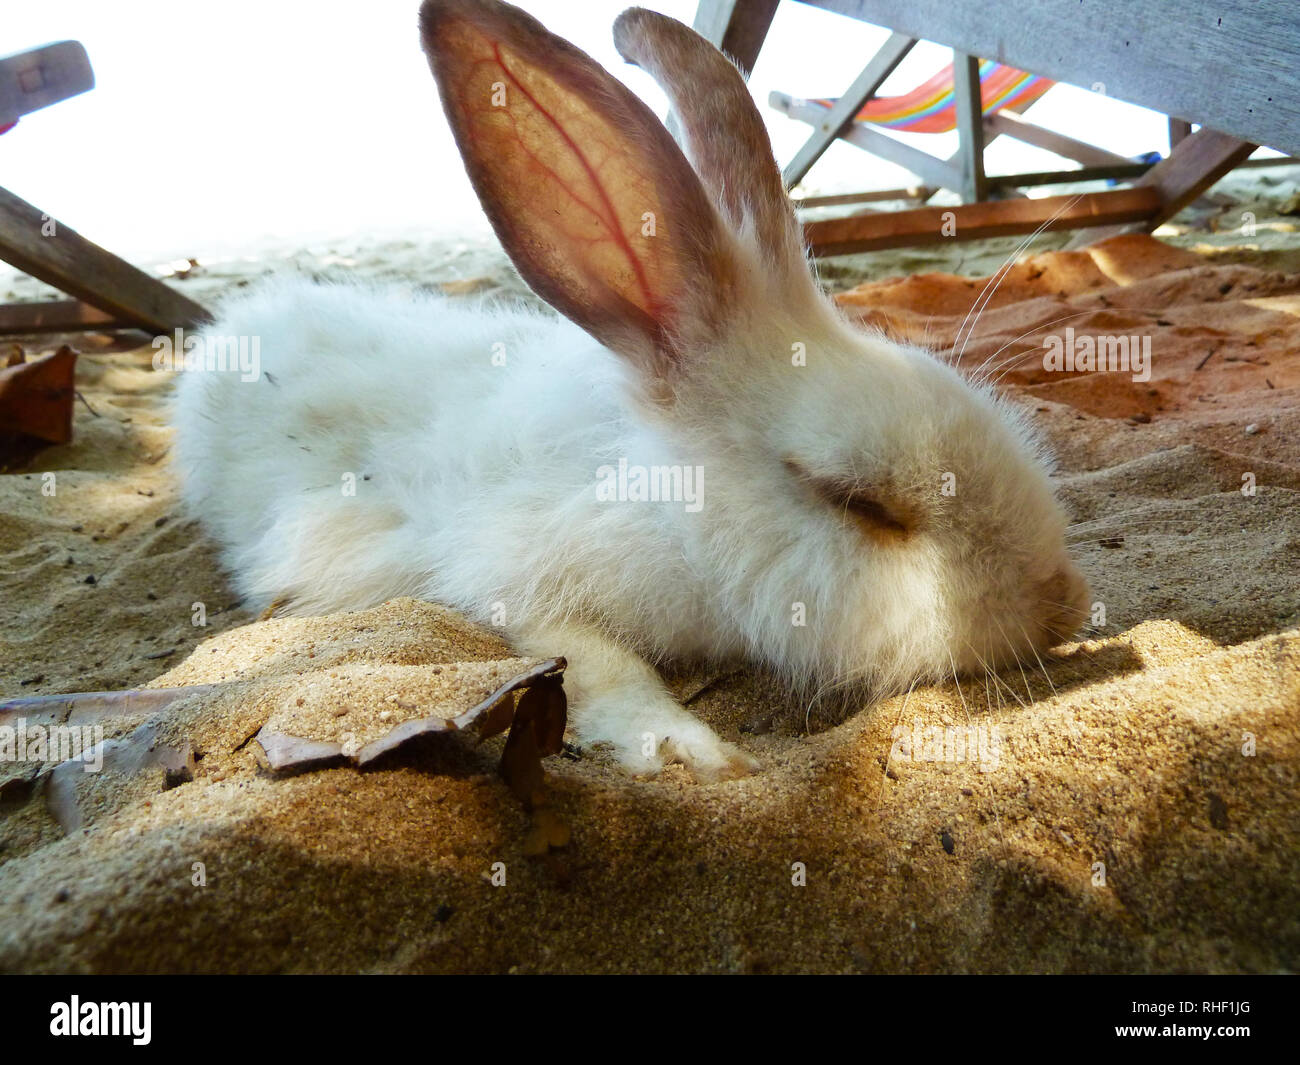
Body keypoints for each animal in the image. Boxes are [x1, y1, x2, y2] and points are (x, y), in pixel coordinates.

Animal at [171, 0, 1090, 782]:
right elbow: (600, 666)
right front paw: (693, 751)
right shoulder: (520, 585)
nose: (1066, 604)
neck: (666, 505)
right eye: (858, 501)